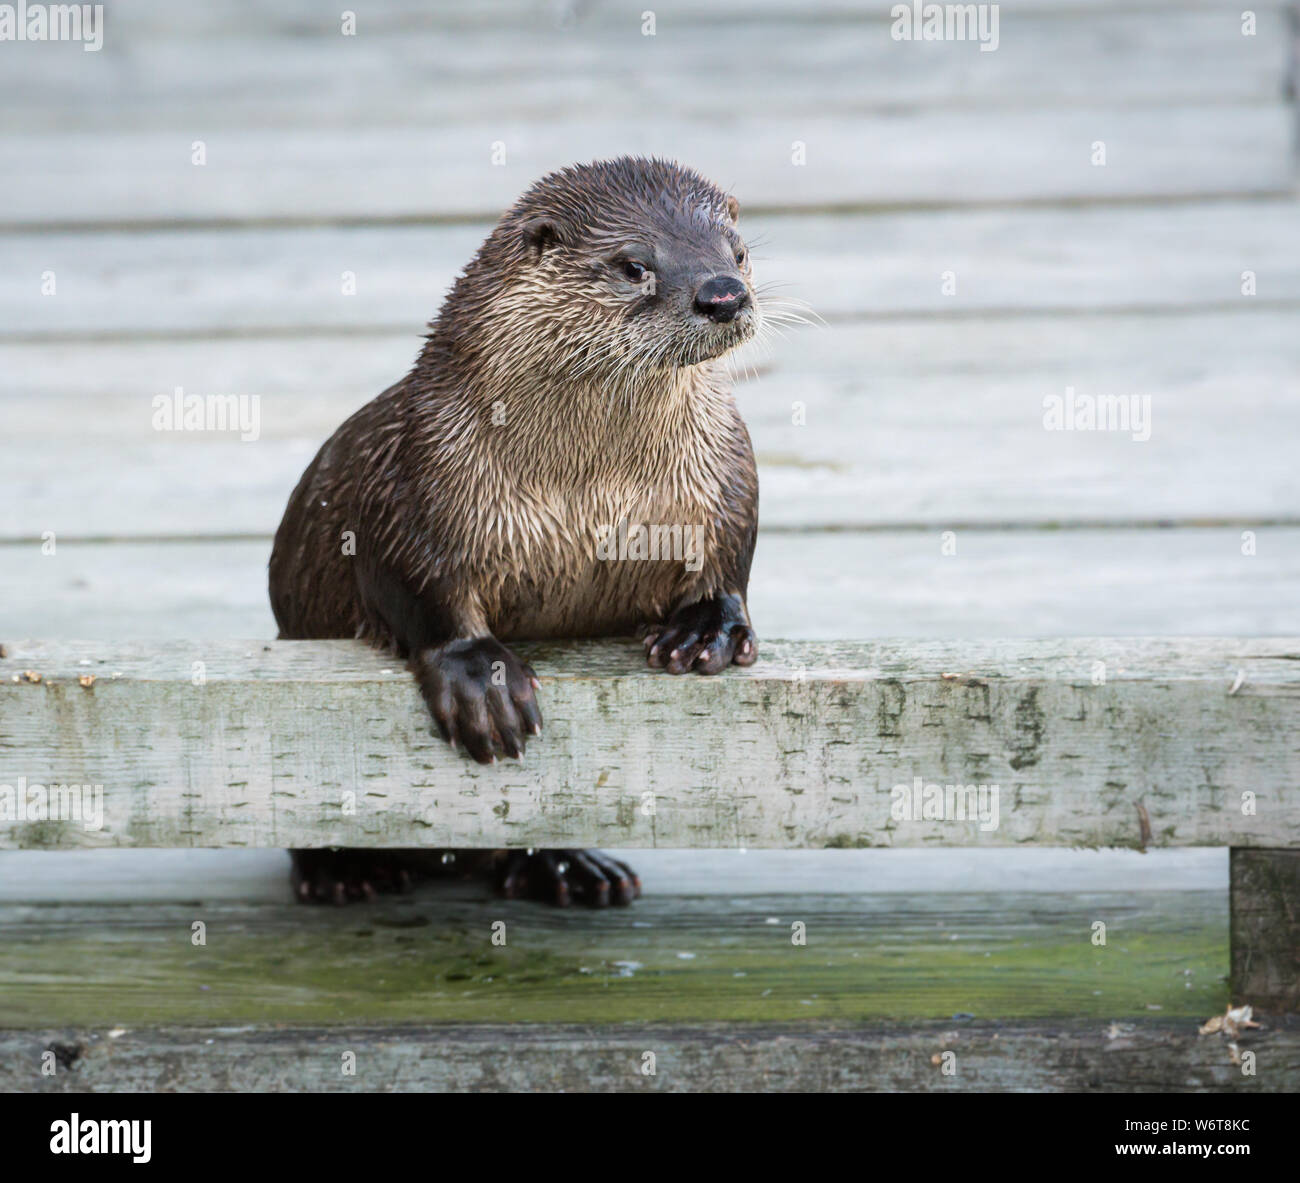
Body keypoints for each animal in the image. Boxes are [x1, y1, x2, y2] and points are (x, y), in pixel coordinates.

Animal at [269, 157, 761, 907]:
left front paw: (707, 626)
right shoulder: (418, 477)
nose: (724, 294)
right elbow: (415, 585)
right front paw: (483, 675)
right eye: (634, 264)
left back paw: (570, 868)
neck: (590, 488)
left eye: (739, 252)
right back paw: (344, 871)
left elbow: (733, 550)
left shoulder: (725, 465)